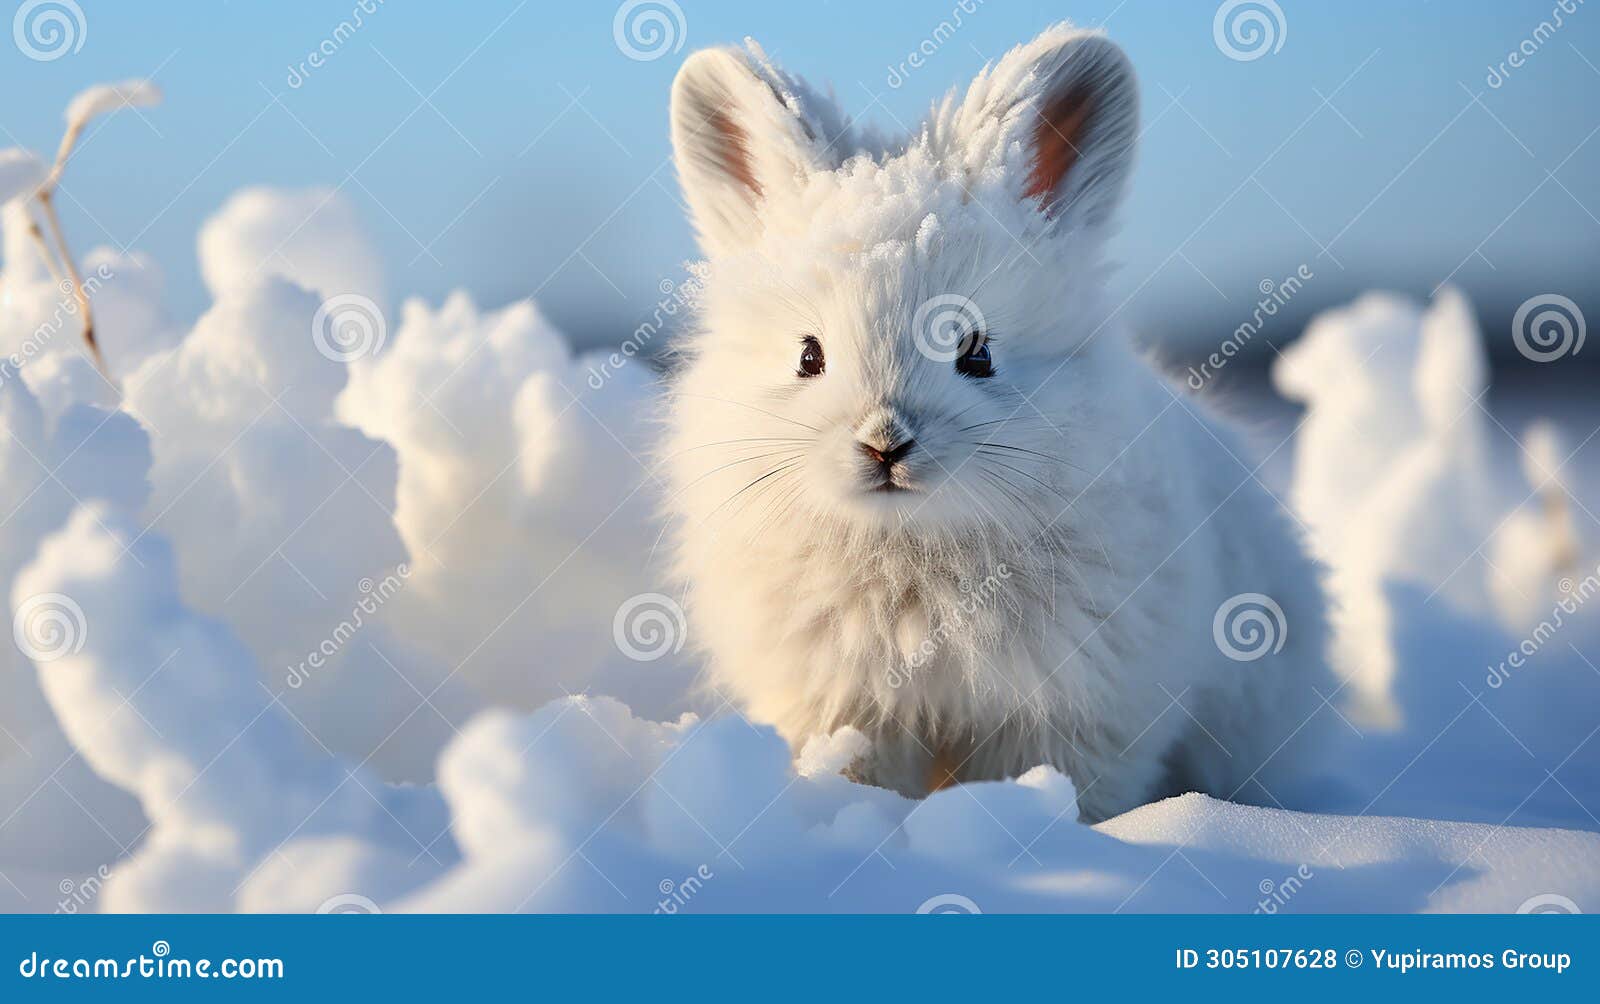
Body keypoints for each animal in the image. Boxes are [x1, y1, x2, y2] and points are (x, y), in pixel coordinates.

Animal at [658, 23, 1334, 822]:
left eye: (976, 352)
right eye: (808, 356)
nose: (885, 443)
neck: (911, 549)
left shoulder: (1072, 713)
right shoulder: (844, 704)